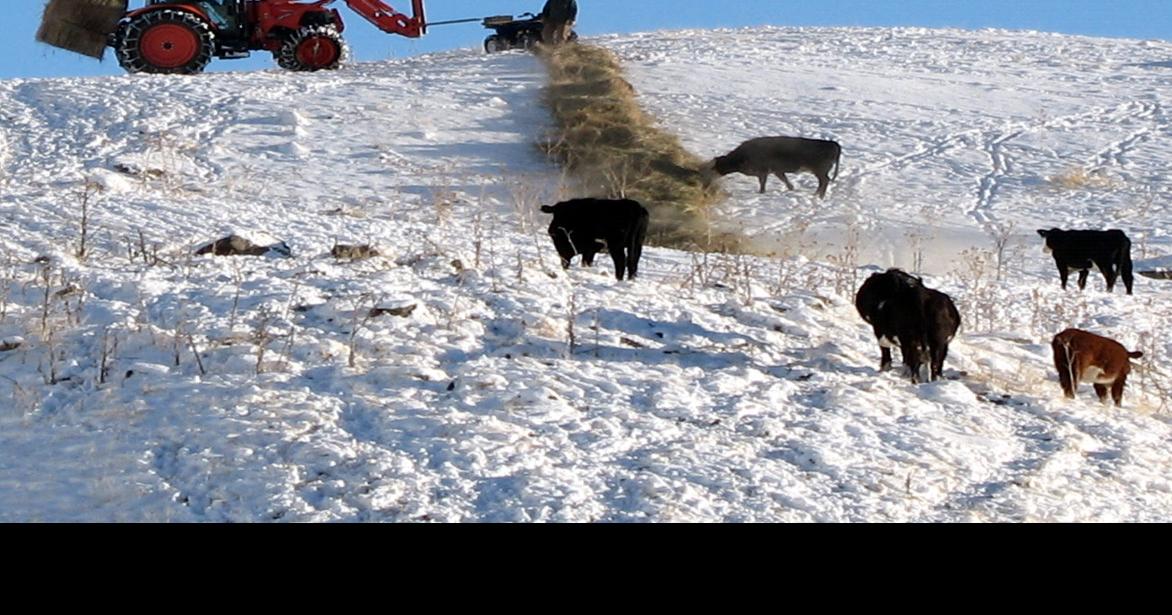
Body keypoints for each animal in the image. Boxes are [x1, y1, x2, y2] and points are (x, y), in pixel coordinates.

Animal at [702, 136, 842, 198]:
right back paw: (816, 195)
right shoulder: (776, 171)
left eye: (713, 168)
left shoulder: (763, 171)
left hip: (820, 170)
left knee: (825, 181)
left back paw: (819, 196)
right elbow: (785, 180)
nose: (704, 185)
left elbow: (762, 183)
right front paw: (791, 188)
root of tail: (832, 143)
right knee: (822, 182)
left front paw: (761, 193)